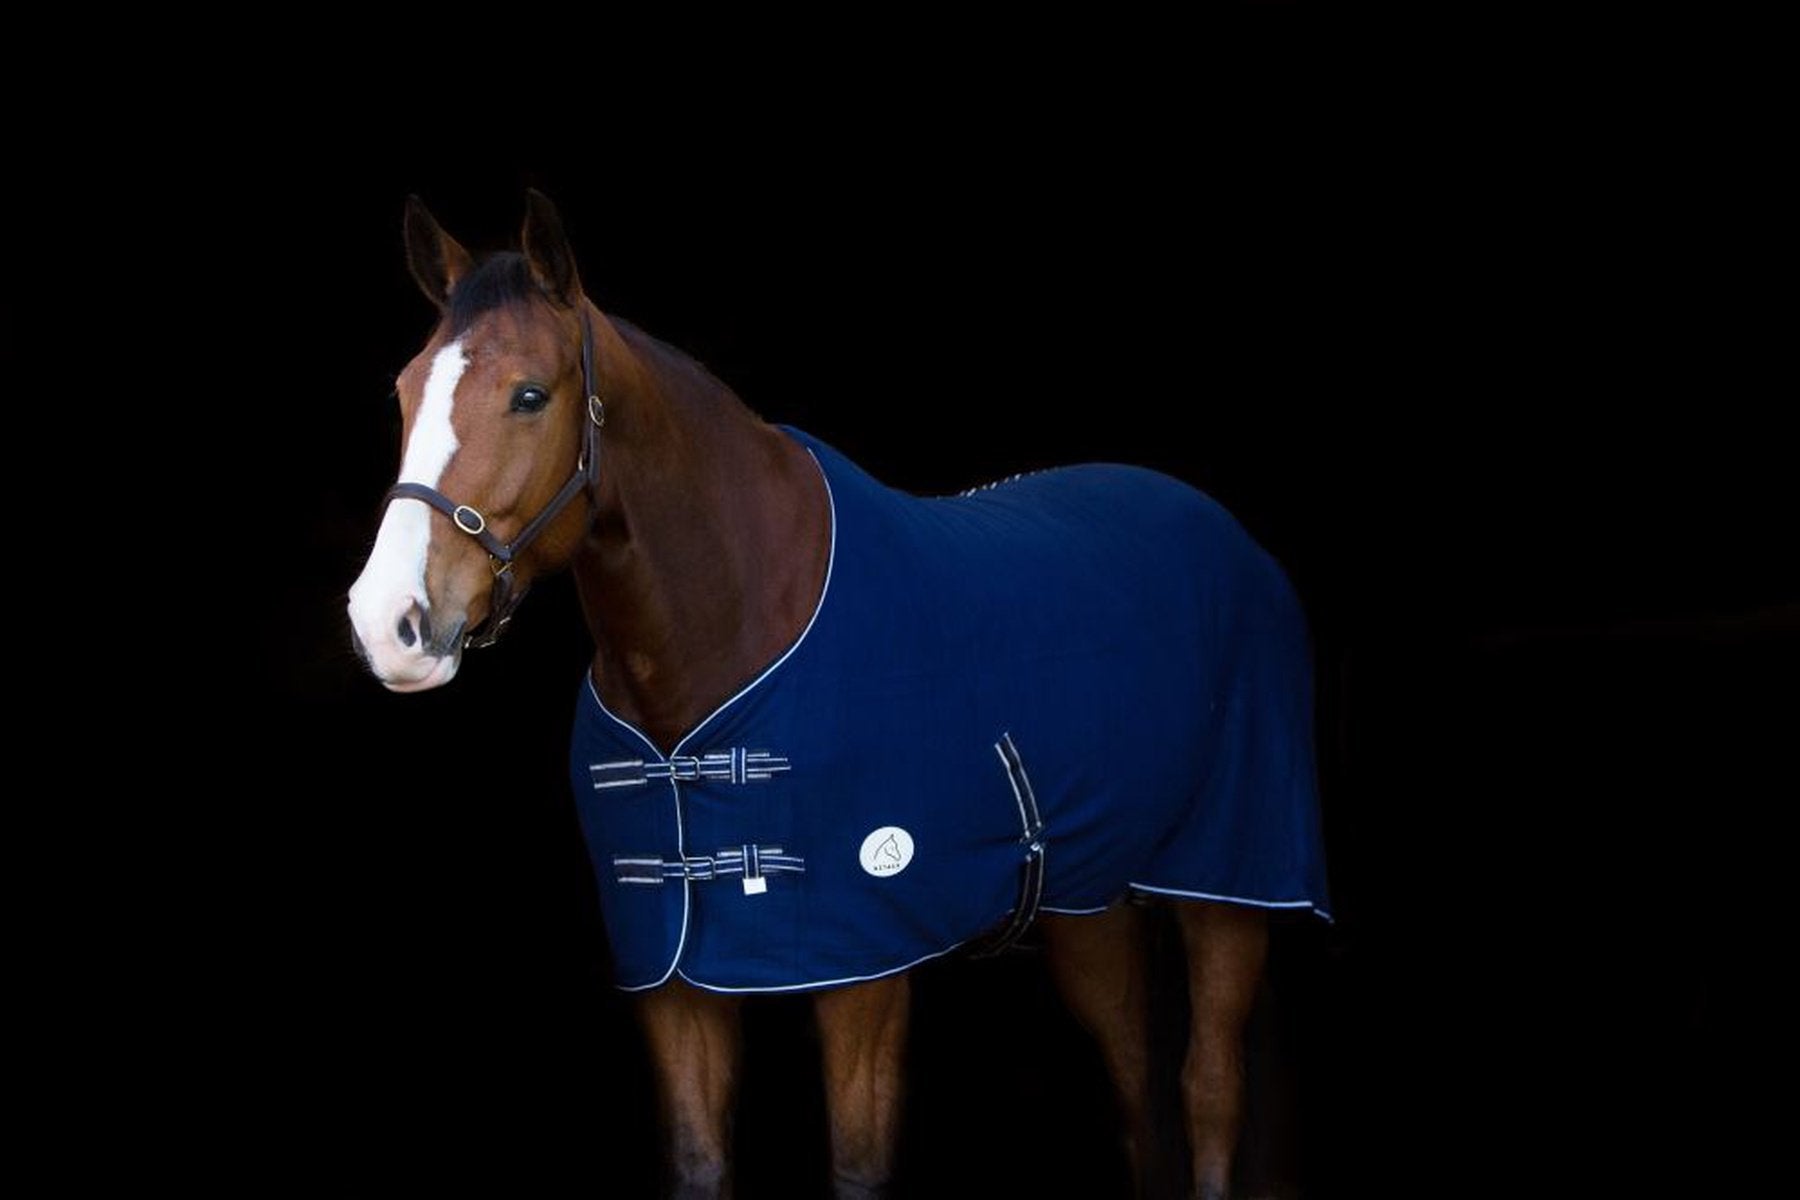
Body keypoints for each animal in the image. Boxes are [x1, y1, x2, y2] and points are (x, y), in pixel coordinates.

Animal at [347, 191, 1329, 1199]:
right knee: (1136, 1086)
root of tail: (1229, 539)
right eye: (403, 391)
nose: (390, 623)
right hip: (1088, 902)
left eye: (530, 395)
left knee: (1208, 1087)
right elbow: (699, 1161)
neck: (733, 637)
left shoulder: (866, 967)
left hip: (1230, 879)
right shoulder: (673, 985)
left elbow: (858, 1163)